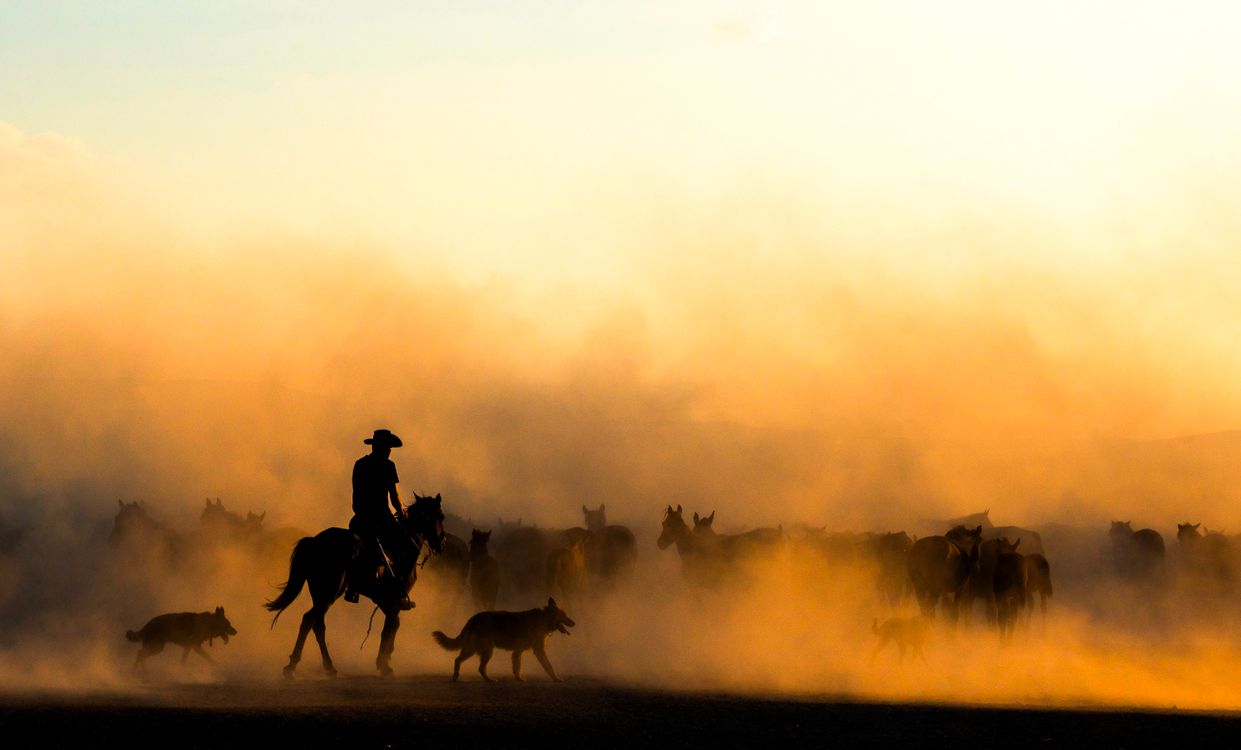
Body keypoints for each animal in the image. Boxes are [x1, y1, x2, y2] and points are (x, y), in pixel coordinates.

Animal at [264, 493, 445, 678]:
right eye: (441, 516)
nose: (441, 542)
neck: (402, 548)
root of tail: (314, 542)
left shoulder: (384, 601)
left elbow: (392, 626)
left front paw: (384, 661)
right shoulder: (395, 600)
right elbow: (390, 628)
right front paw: (385, 665)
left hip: (320, 594)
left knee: (318, 625)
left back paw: (329, 666)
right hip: (329, 594)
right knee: (309, 620)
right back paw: (292, 665)